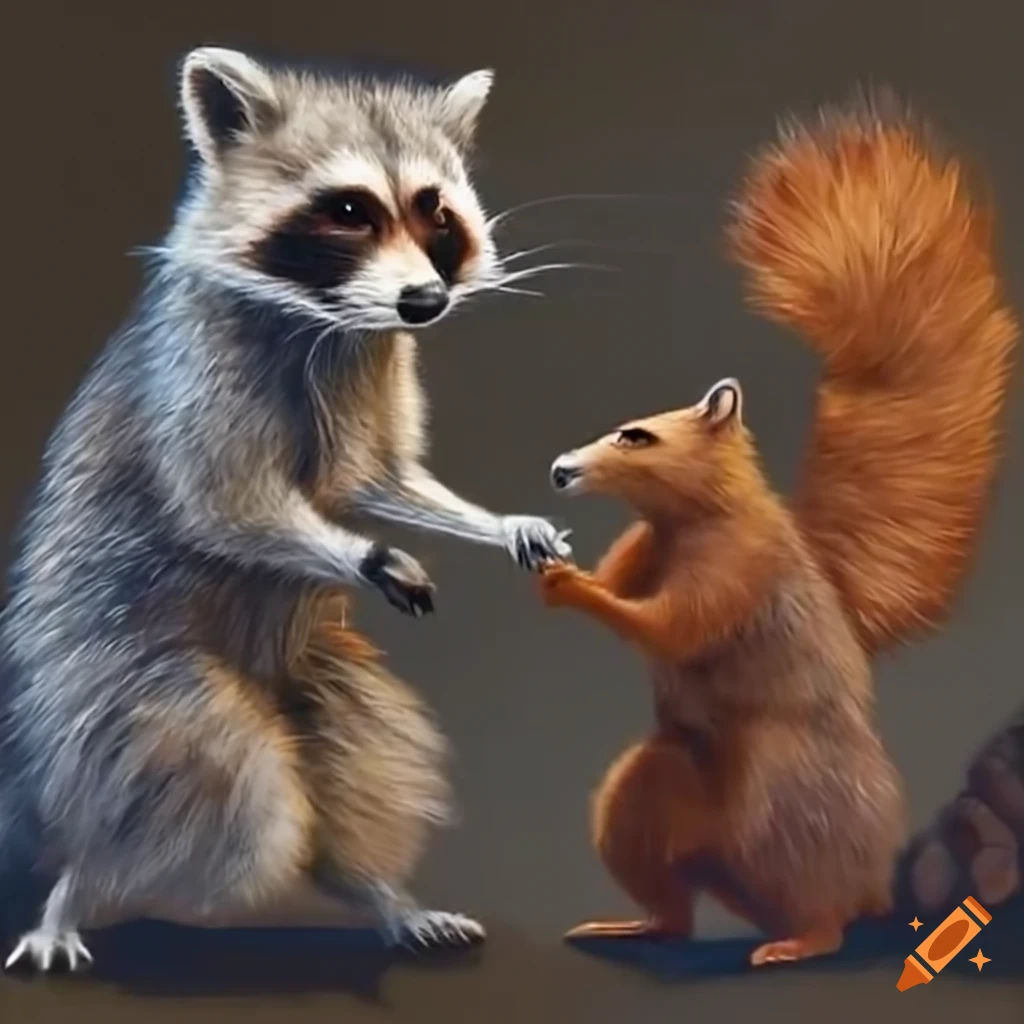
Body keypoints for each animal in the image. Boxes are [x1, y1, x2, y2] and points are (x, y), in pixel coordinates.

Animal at [0, 46, 571, 973]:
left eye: (434, 211)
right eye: (349, 211)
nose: (425, 301)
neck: (328, 321)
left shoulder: (370, 362)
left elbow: (377, 478)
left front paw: (489, 521)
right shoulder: (203, 367)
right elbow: (223, 502)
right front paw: (363, 554)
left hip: (318, 668)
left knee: (362, 761)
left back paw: (379, 891)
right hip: (119, 678)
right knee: (219, 787)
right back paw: (80, 883)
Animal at [537, 95, 1019, 966]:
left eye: (637, 436)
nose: (561, 470)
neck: (690, 519)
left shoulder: (740, 566)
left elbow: (672, 622)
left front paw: (576, 589)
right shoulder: (644, 546)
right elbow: (630, 584)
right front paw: (558, 576)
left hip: (791, 806)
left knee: (821, 911)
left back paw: (799, 942)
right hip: (644, 796)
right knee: (674, 905)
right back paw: (633, 924)